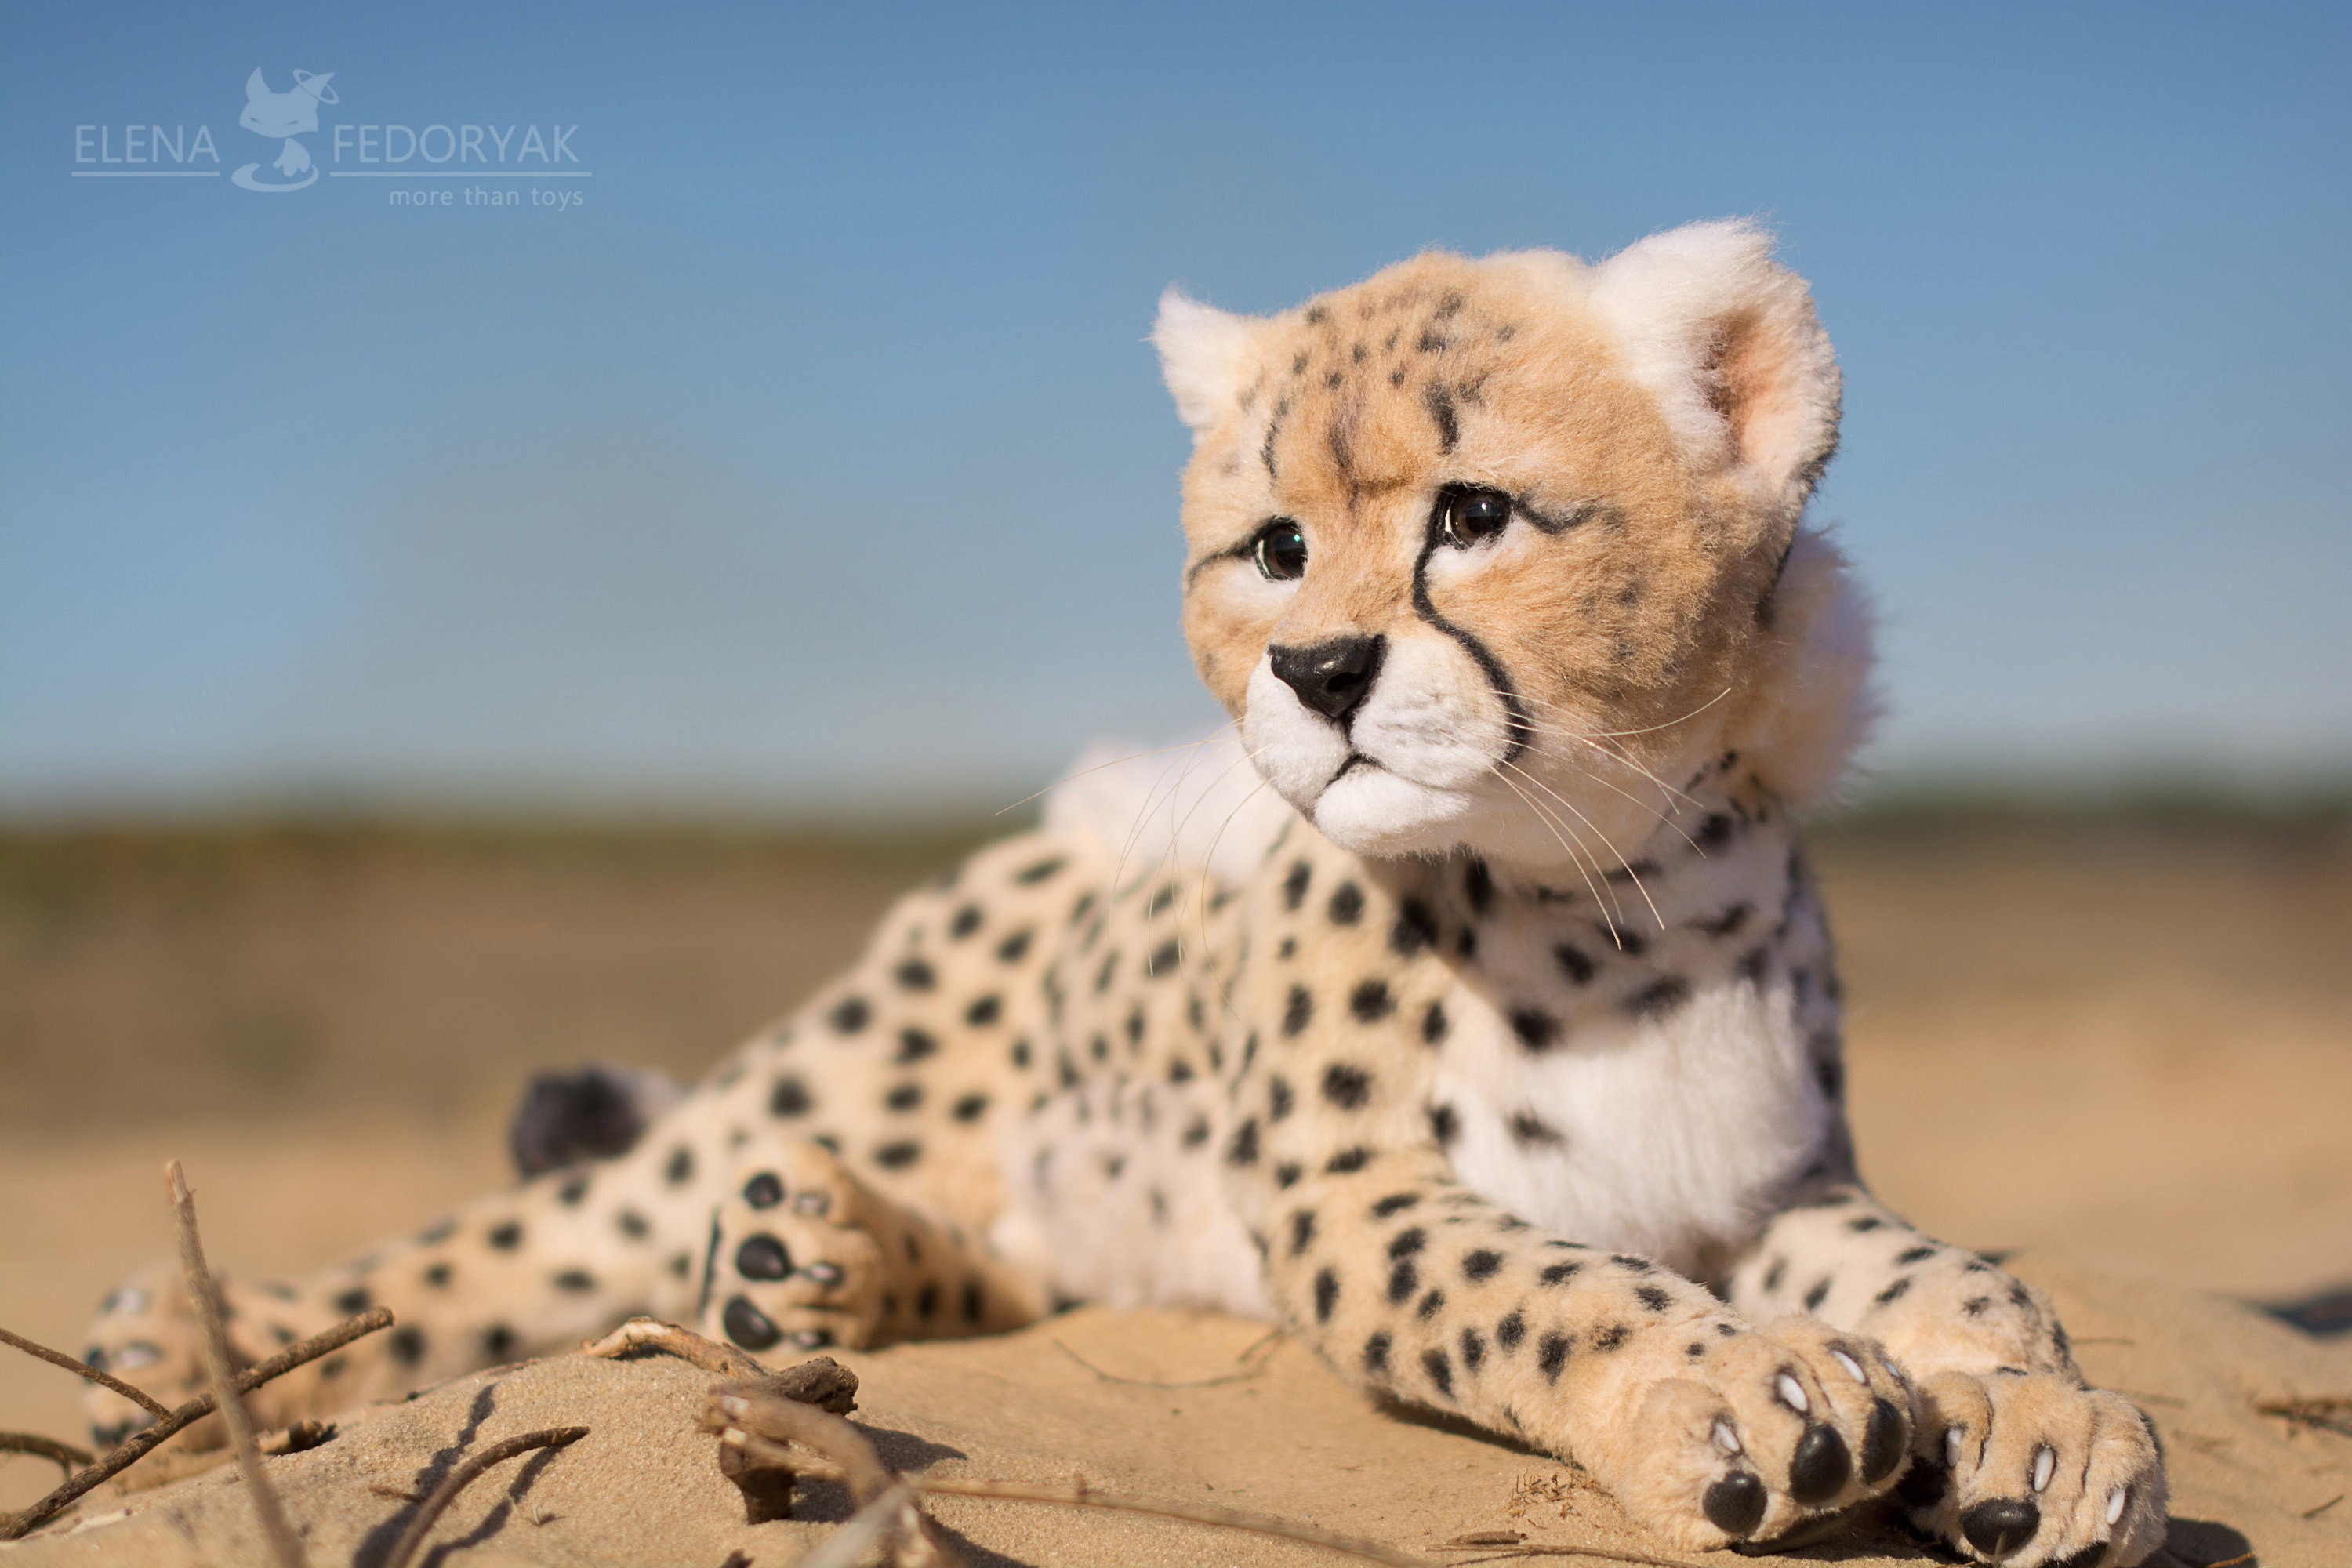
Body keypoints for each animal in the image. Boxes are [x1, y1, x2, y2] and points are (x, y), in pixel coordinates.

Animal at [81, 220, 2167, 1566]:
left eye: (1474, 516)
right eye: (1272, 548)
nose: (1317, 674)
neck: (1618, 886)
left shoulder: (1777, 1181)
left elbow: (1955, 1265)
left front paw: (2040, 1418)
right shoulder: (1355, 1195)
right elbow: (1551, 1282)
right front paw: (1733, 1387)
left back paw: (817, 1255)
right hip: (797, 1095)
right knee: (505, 1244)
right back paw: (173, 1339)